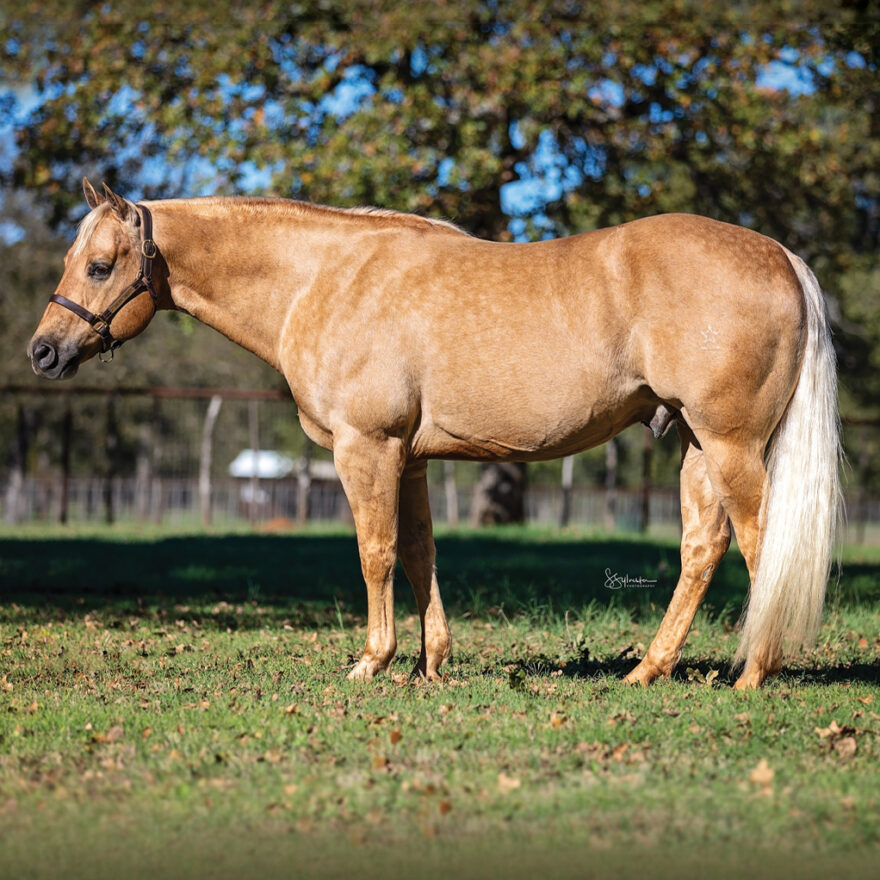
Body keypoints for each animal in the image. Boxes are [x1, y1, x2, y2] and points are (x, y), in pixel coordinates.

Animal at [28, 179, 842, 689]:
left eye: (99, 265)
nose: (43, 352)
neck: (325, 278)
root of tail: (779, 256)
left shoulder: (366, 447)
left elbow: (376, 553)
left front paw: (373, 661)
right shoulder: (410, 460)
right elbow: (420, 553)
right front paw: (430, 662)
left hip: (731, 445)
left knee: (761, 545)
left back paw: (752, 675)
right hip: (699, 448)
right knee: (702, 551)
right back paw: (647, 670)